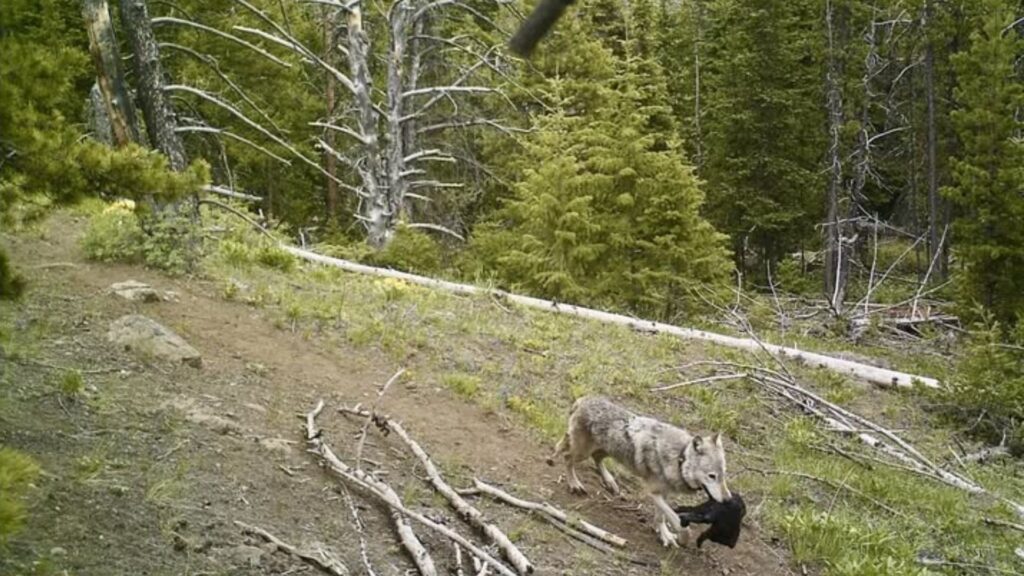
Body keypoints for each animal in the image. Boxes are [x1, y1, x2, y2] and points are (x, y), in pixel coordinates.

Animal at [546, 395, 731, 547]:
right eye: (712, 476)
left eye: (723, 475)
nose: (728, 500)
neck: (679, 458)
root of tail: (583, 399)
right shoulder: (653, 491)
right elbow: (676, 520)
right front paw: (681, 536)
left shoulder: (664, 493)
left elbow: (661, 516)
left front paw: (663, 534)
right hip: (583, 452)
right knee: (567, 457)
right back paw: (574, 483)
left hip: (606, 450)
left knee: (595, 458)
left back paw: (610, 482)